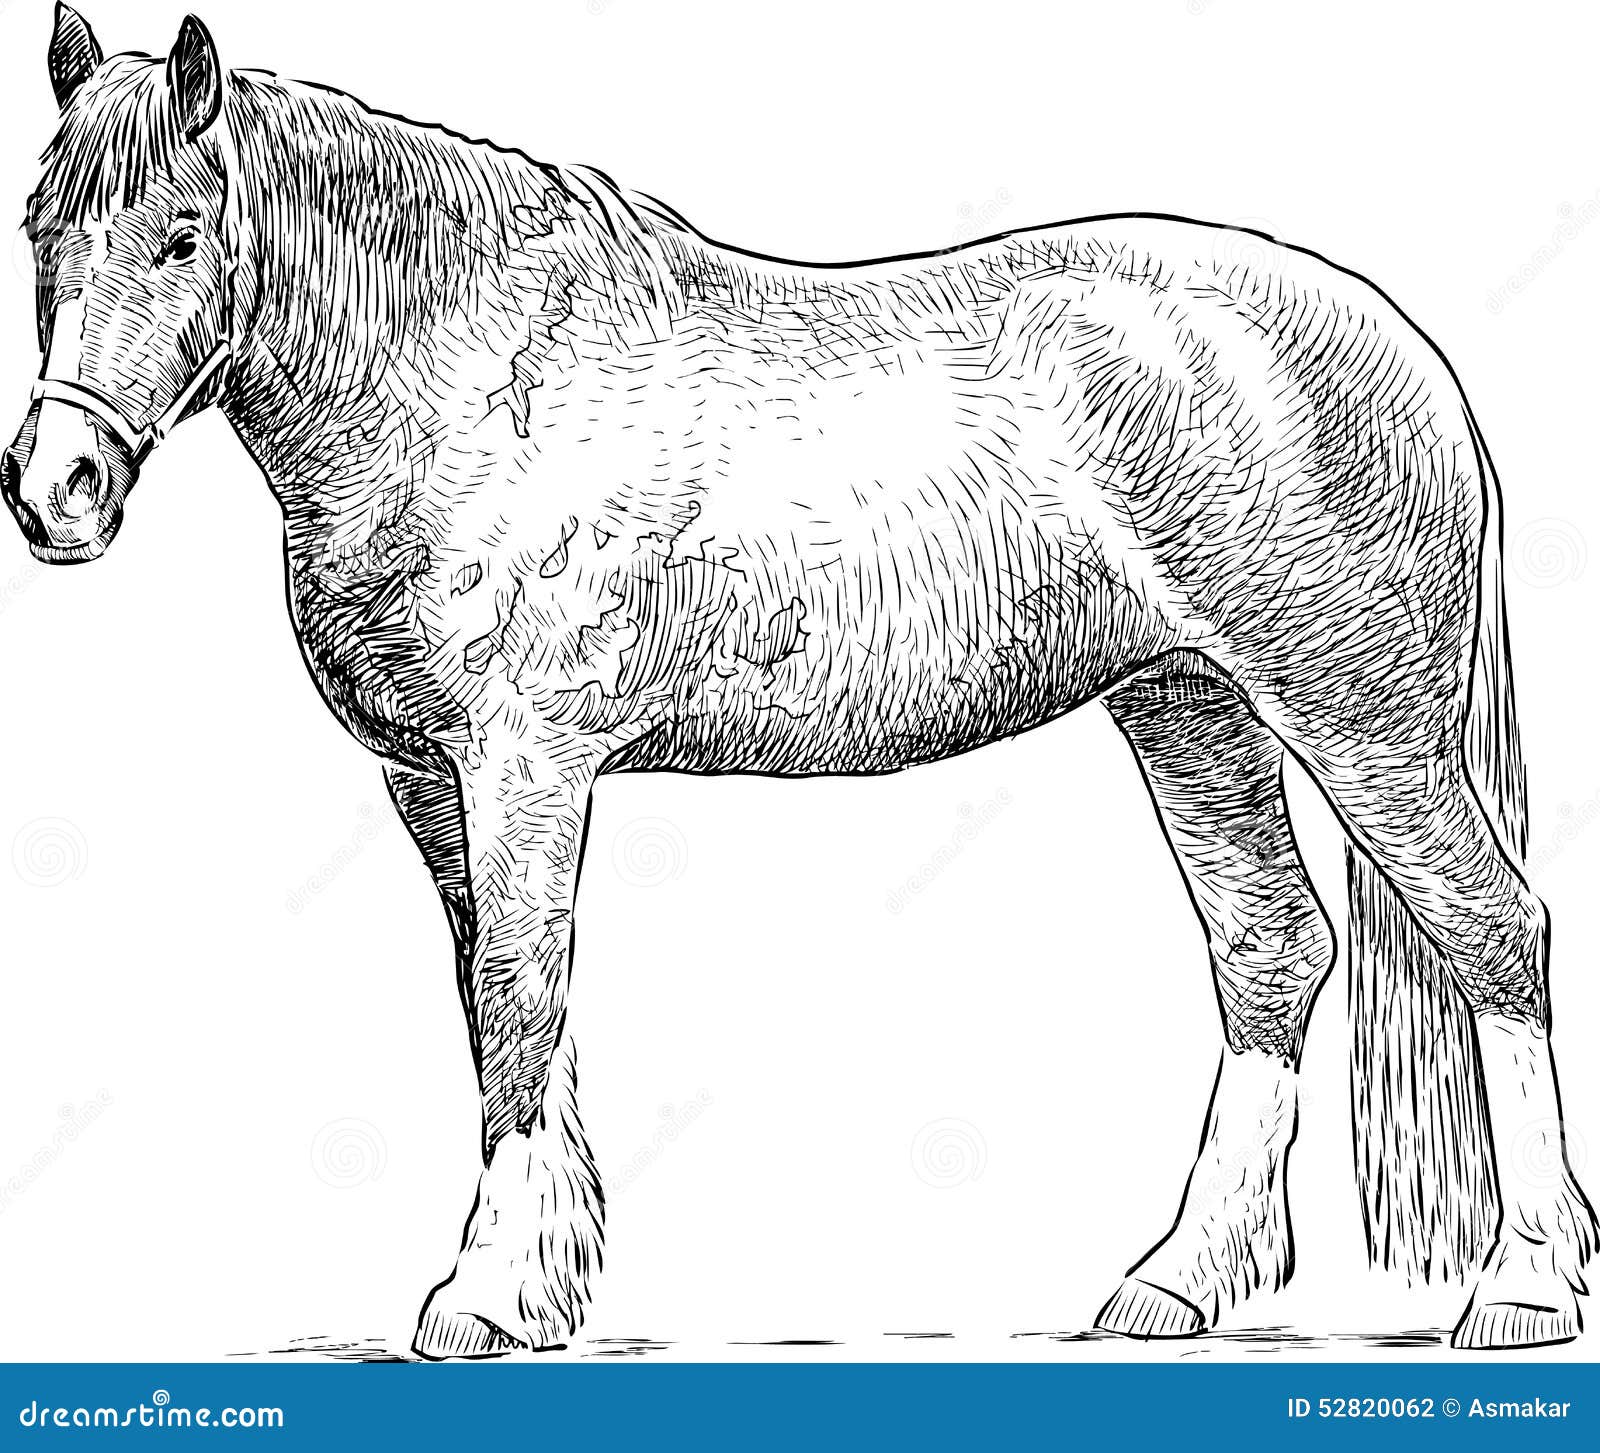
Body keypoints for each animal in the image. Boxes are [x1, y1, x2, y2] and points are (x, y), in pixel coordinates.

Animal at [4, 6, 1594, 1358]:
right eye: (40, 228)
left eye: (183, 234)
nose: (55, 489)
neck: (478, 379)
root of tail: (1409, 355)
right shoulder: (431, 779)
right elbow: (497, 1003)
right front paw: (547, 1281)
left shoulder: (525, 764)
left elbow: (520, 997)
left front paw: (483, 1296)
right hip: (1188, 708)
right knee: (1271, 952)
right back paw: (1176, 1284)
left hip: (1358, 721)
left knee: (1492, 934)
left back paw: (1523, 1286)